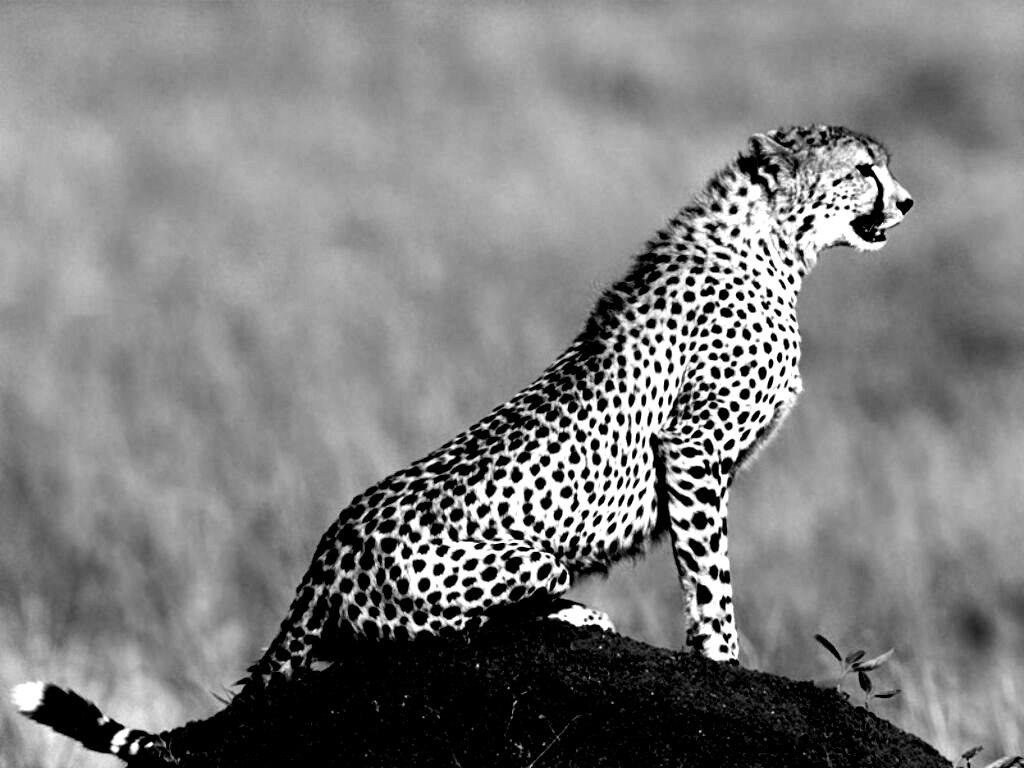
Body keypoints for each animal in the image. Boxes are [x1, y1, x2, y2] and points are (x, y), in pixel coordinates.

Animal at [13, 124, 912, 762]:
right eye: (862, 169)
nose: (906, 203)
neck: (775, 245)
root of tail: (328, 548)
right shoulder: (691, 449)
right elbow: (711, 576)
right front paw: (727, 664)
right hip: (510, 565)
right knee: (433, 634)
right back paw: (574, 612)